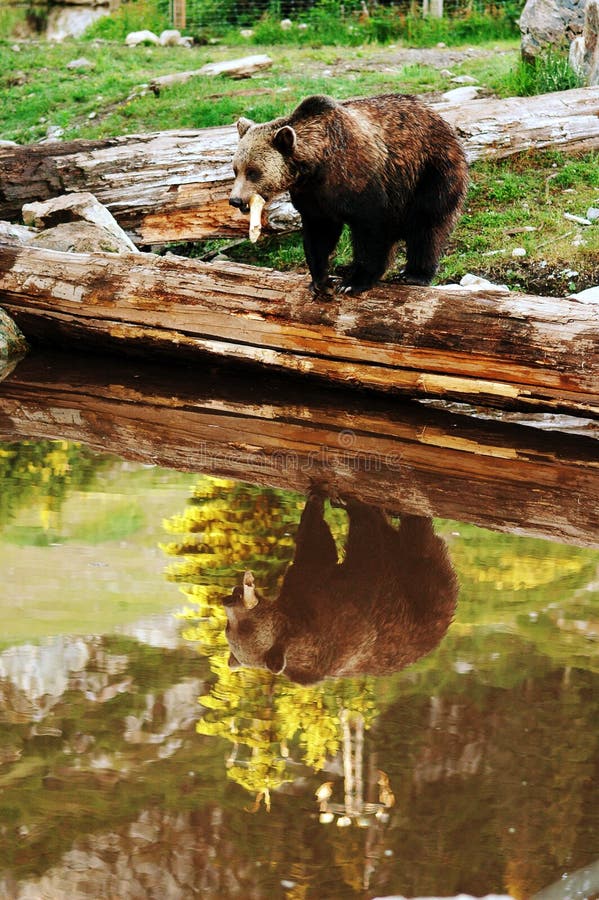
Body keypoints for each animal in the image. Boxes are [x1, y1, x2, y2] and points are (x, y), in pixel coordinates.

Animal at [222, 494, 458, 685]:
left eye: (228, 625)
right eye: (235, 626)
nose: (232, 596)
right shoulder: (340, 610)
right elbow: (332, 548)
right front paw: (331, 500)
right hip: (424, 593)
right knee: (419, 542)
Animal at [229, 93, 468, 296]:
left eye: (253, 171)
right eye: (236, 169)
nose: (235, 199)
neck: (316, 166)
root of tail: (439, 118)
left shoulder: (359, 181)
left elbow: (371, 231)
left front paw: (353, 282)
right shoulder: (312, 197)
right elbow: (319, 233)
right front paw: (321, 281)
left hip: (431, 172)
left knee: (426, 225)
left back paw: (412, 274)